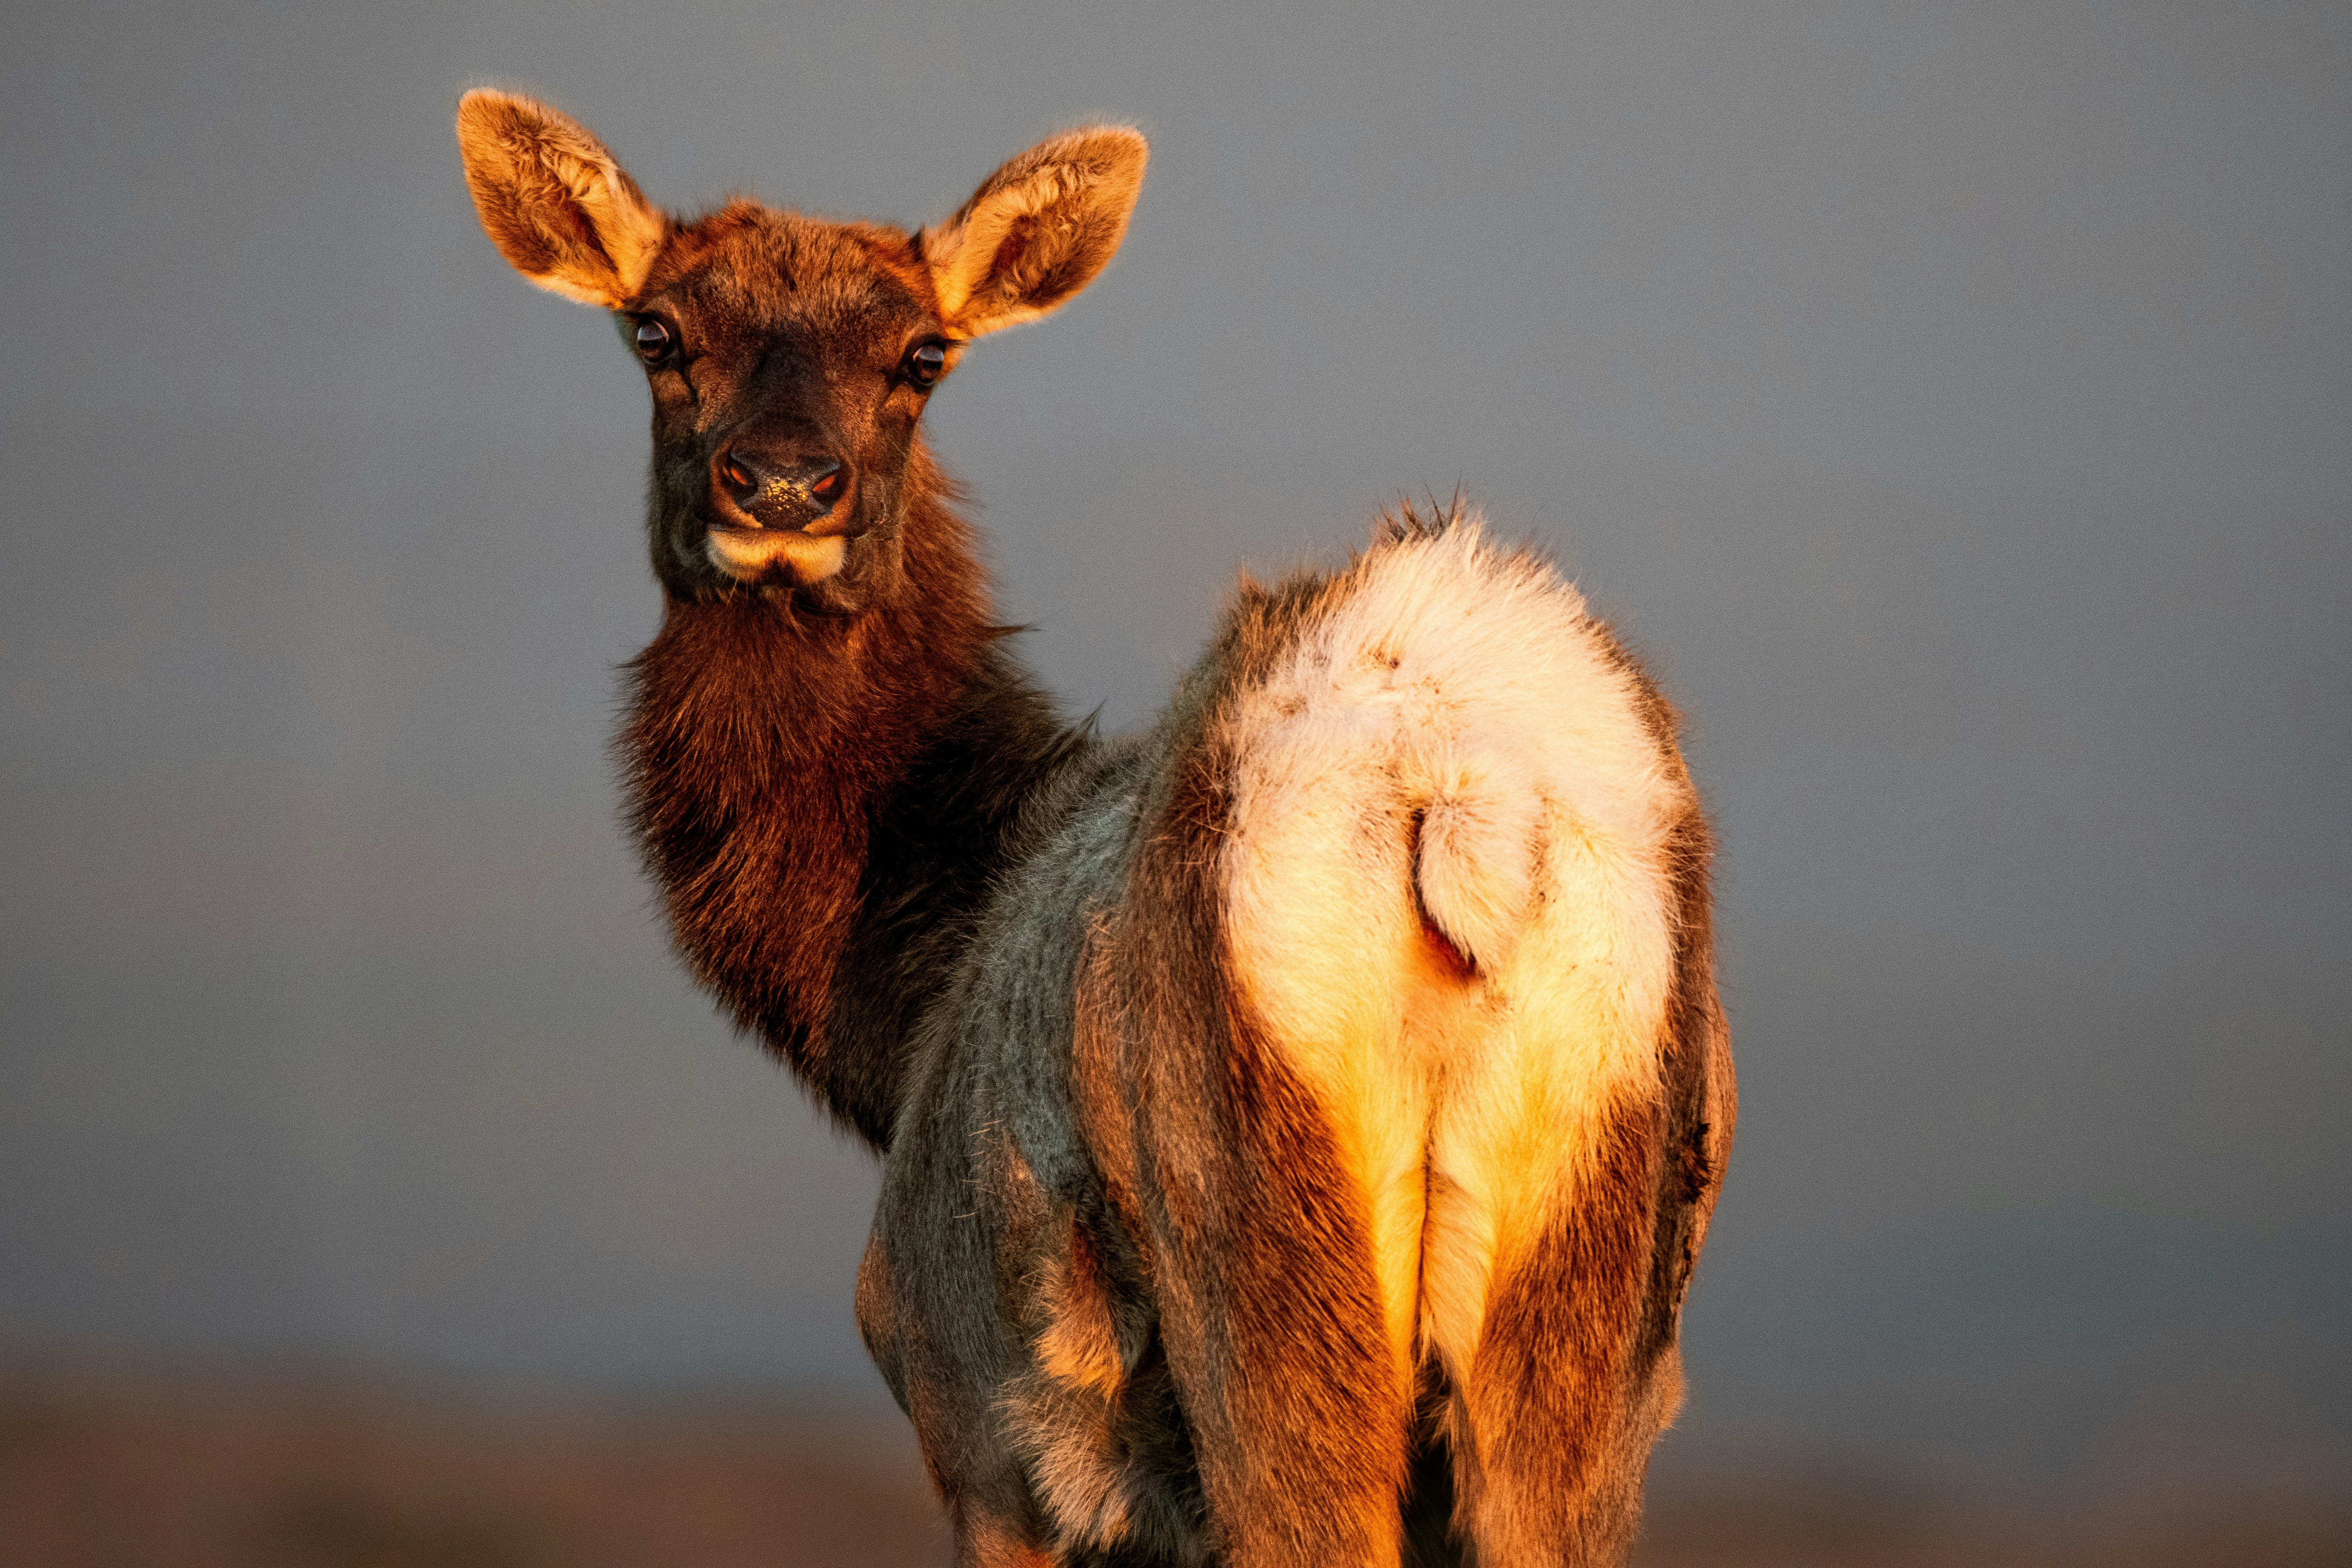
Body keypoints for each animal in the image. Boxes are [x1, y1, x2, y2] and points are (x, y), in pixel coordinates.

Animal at [455, 88, 1734, 1568]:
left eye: (923, 353)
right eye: (658, 330)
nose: (780, 488)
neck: (897, 1001)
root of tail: (1451, 781)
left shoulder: (969, 1418)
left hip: (1261, 1283)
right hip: (1578, 1336)